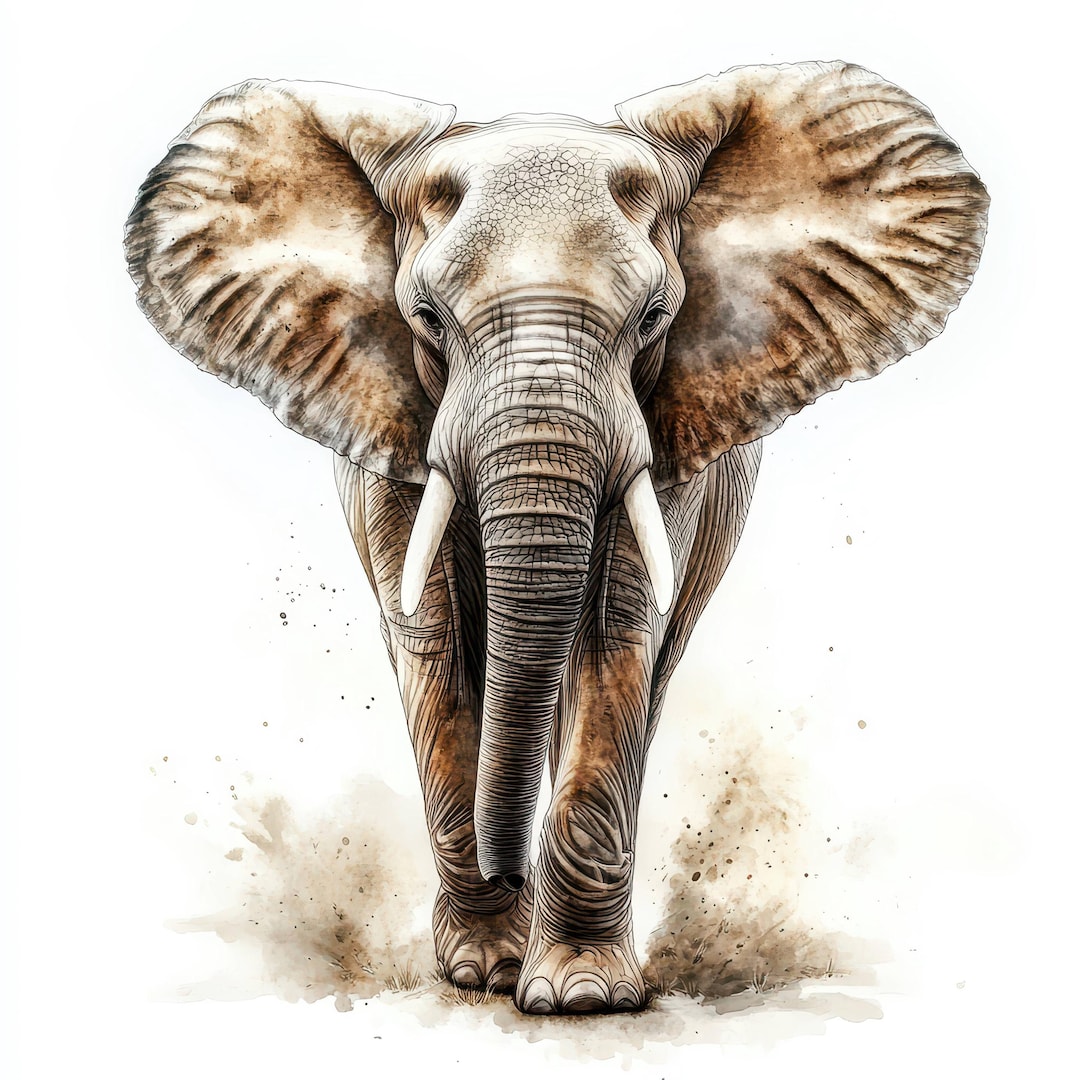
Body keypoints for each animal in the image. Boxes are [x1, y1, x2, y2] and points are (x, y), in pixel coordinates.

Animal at [124, 61, 987, 1015]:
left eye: (653, 317)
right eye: (426, 317)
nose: (508, 872)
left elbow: (617, 635)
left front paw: (581, 995)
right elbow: (433, 641)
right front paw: (483, 972)